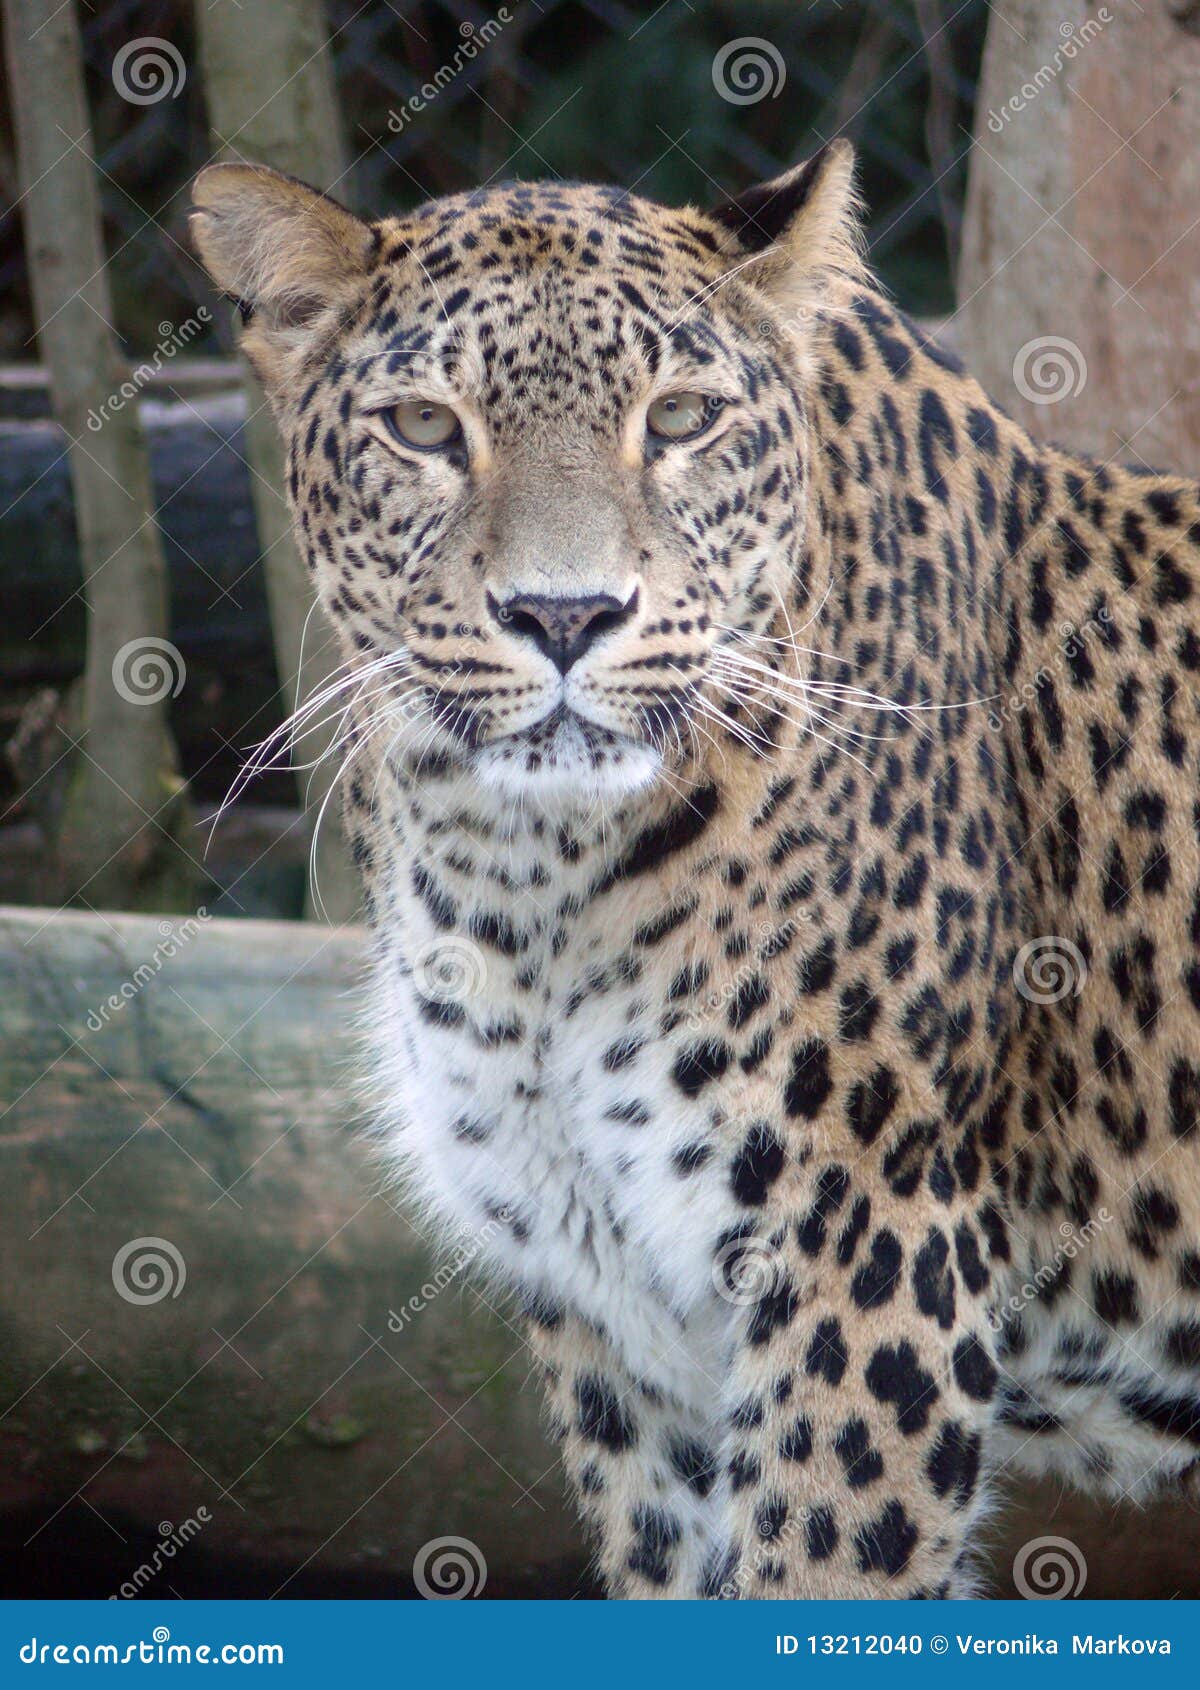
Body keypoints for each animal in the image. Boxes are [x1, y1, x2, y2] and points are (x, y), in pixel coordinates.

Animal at [191, 140, 1200, 1599]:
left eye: (677, 419)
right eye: (426, 429)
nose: (564, 615)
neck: (526, 879)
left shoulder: (868, 1255)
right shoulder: (614, 1309)